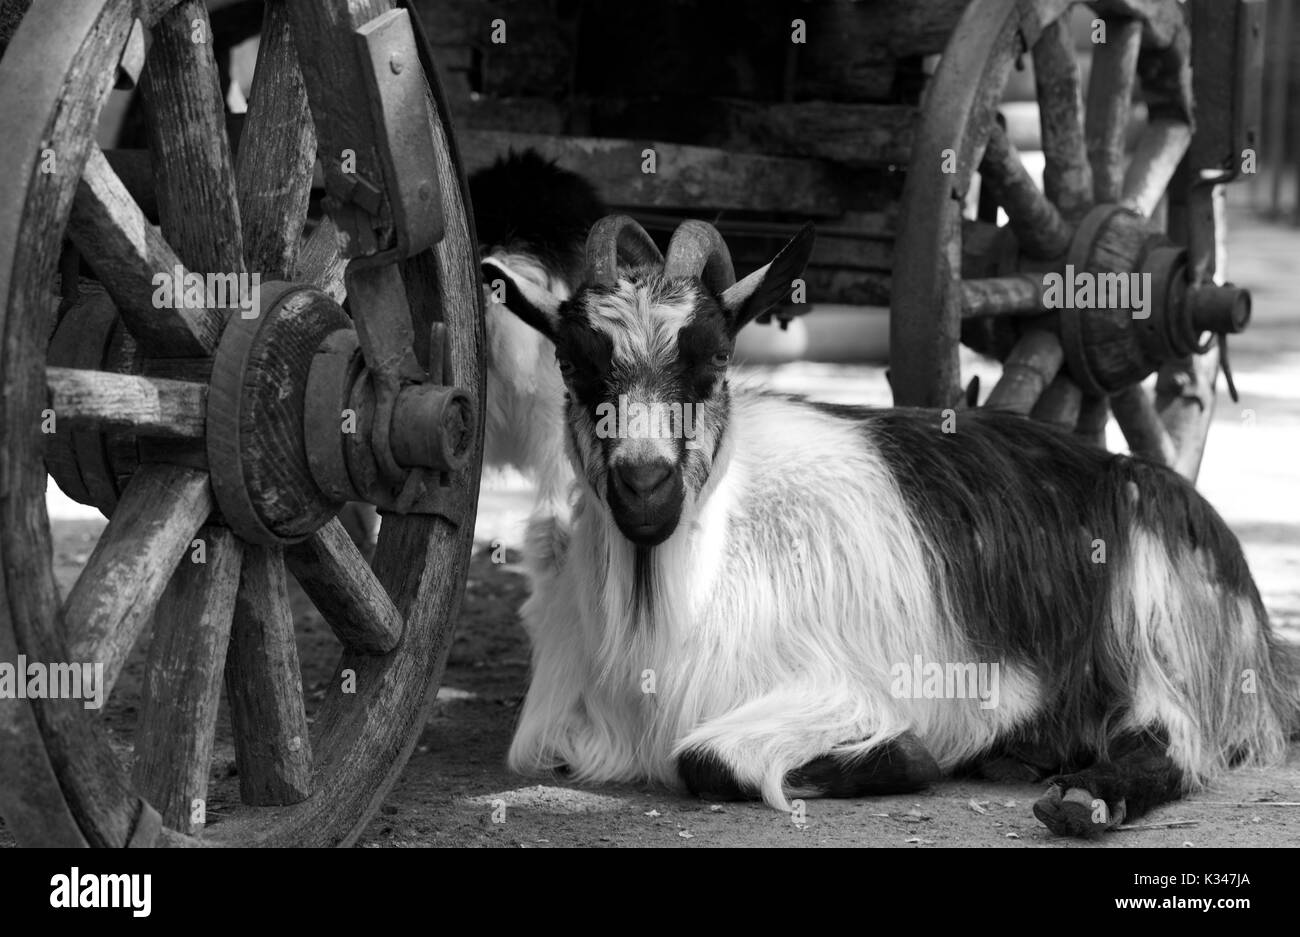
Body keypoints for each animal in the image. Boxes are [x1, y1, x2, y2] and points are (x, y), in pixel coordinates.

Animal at [483, 215, 1300, 838]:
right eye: (573, 366)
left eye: (714, 361)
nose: (645, 487)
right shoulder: (559, 729)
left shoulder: (840, 685)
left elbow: (707, 759)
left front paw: (902, 757)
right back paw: (1032, 756)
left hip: (1156, 619)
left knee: (1175, 740)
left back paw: (1080, 795)